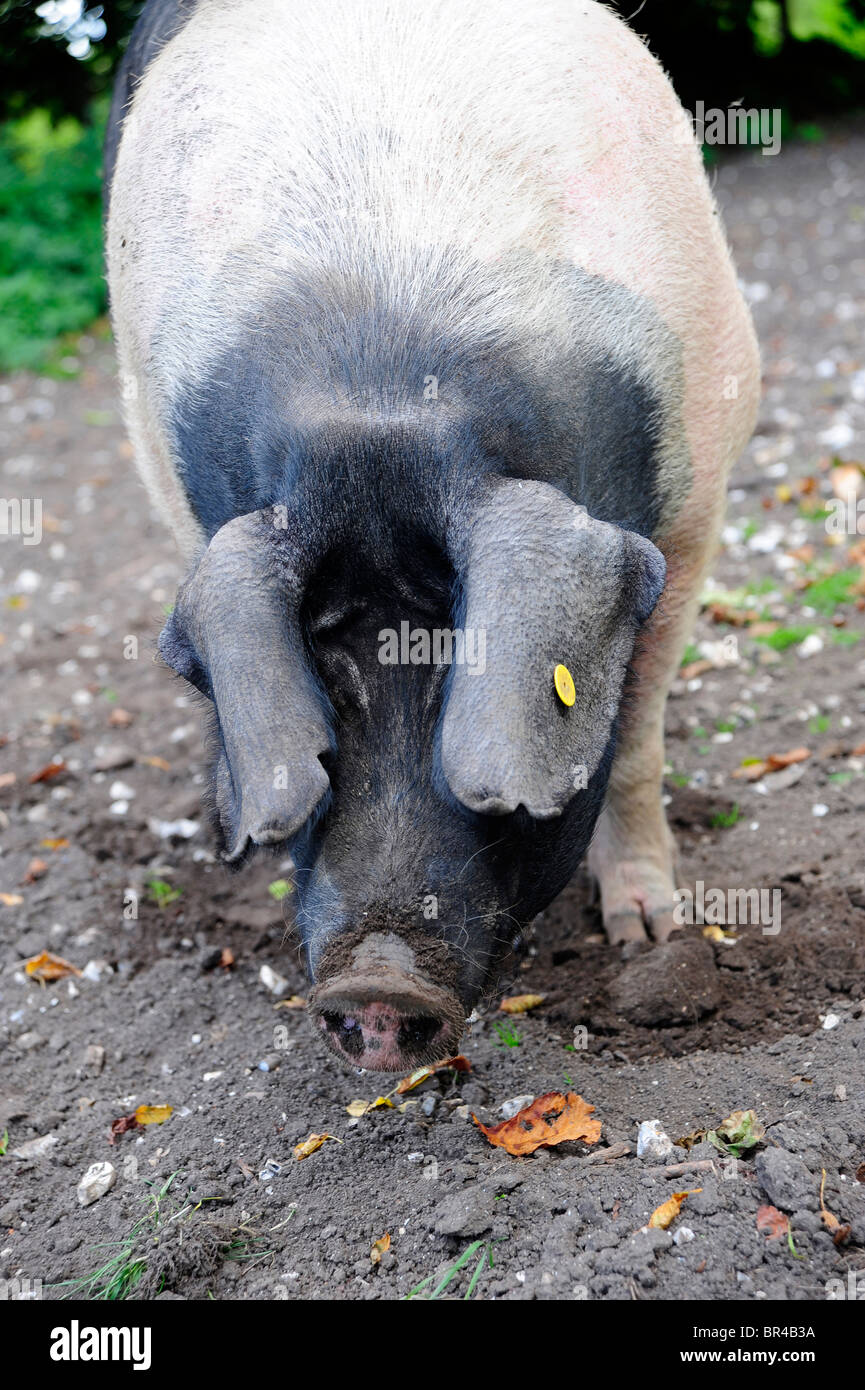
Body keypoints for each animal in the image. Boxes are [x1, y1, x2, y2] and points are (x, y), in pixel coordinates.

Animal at [105, 0, 759, 1071]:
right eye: (322, 696)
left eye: (458, 678)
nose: (375, 986)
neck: (383, 408)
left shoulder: (698, 486)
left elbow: (631, 740)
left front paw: (647, 937)